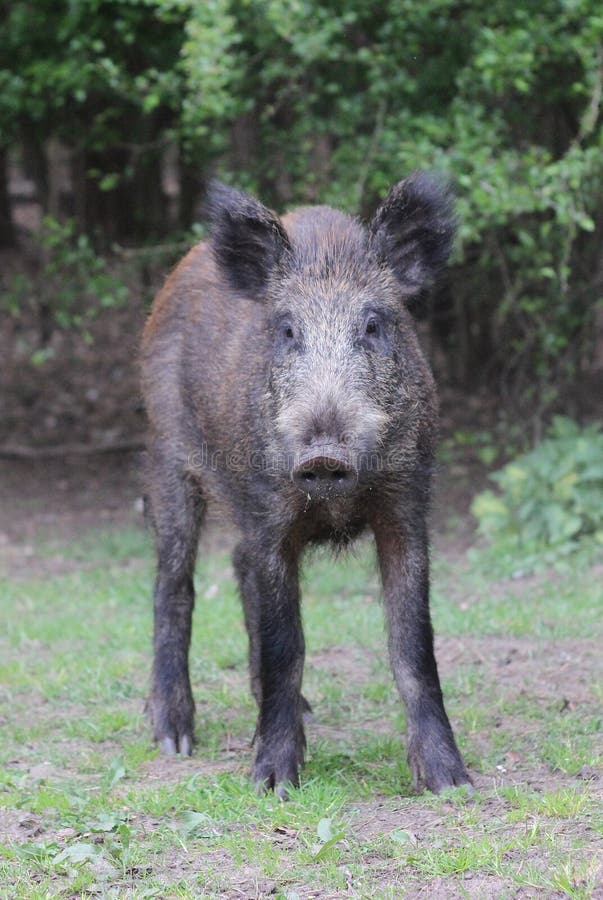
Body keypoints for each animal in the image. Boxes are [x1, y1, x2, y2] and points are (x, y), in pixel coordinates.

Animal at [140, 173, 470, 797]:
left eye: (373, 325)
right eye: (289, 330)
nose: (323, 452)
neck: (336, 504)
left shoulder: (407, 509)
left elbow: (413, 645)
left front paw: (450, 783)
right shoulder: (271, 515)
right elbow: (286, 643)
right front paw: (272, 783)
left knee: (237, 565)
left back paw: (306, 711)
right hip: (167, 452)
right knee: (174, 582)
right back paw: (172, 739)